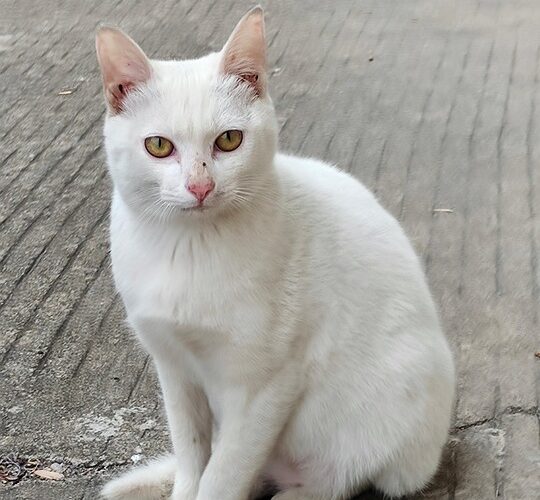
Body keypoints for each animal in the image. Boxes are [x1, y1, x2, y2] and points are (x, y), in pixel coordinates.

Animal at [95, 7, 454, 500]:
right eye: (159, 146)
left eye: (229, 140)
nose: (200, 187)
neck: (189, 247)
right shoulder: (173, 368)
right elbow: (191, 455)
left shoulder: (265, 387)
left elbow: (222, 477)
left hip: (391, 422)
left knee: (339, 481)